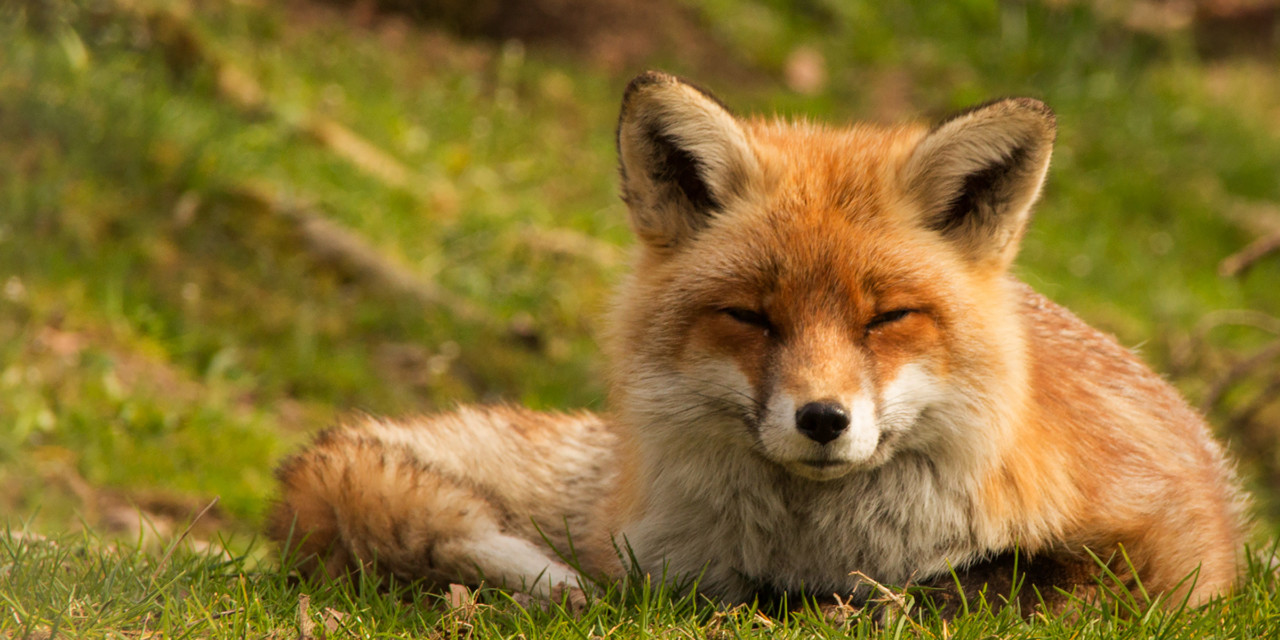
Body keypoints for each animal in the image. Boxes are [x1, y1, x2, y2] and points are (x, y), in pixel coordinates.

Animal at [268, 71, 1249, 613]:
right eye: (752, 317)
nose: (823, 419)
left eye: (885, 318)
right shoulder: (665, 566)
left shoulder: (1171, 546)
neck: (814, 555)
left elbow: (1025, 580)